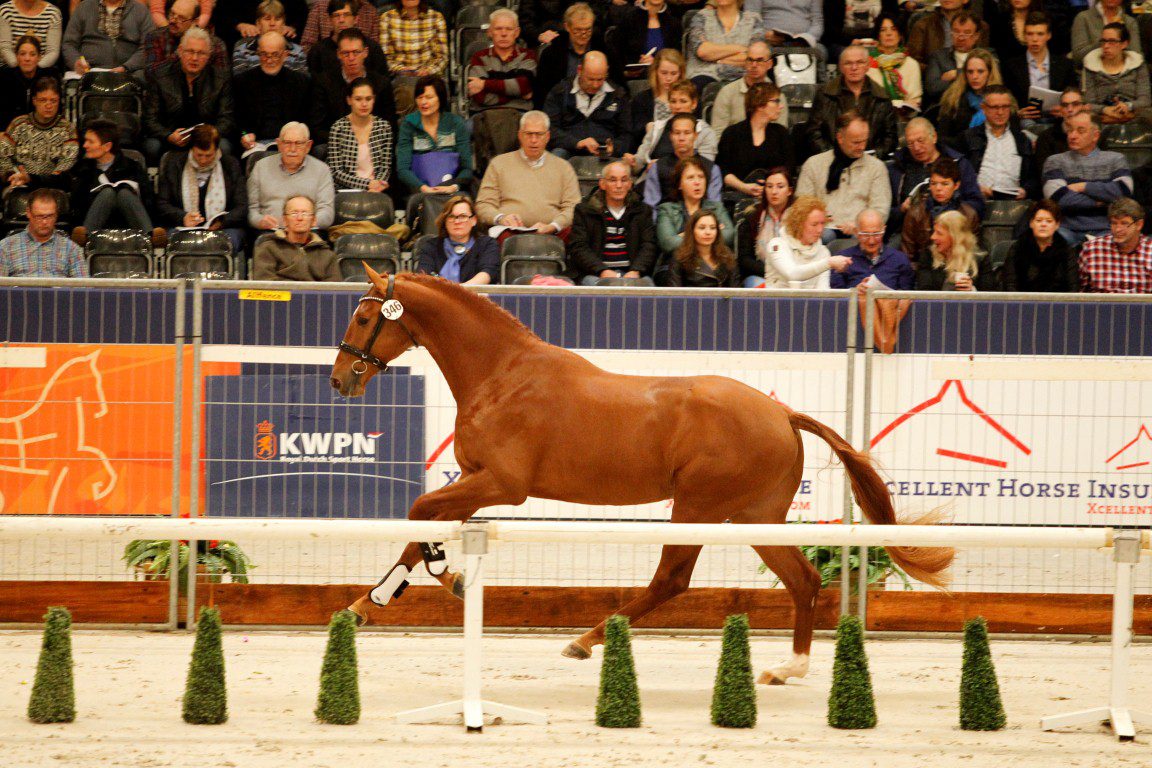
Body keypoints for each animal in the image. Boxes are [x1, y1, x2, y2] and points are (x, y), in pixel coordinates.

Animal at [330, 268, 953, 684]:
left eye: (363, 317)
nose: (340, 380)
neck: (502, 374)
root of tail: (782, 414)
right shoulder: (476, 478)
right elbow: (426, 520)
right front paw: (377, 600)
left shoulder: (503, 484)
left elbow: (421, 513)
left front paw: (423, 581)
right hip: (755, 515)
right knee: (802, 580)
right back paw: (788, 669)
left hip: (699, 507)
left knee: (672, 580)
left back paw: (586, 642)